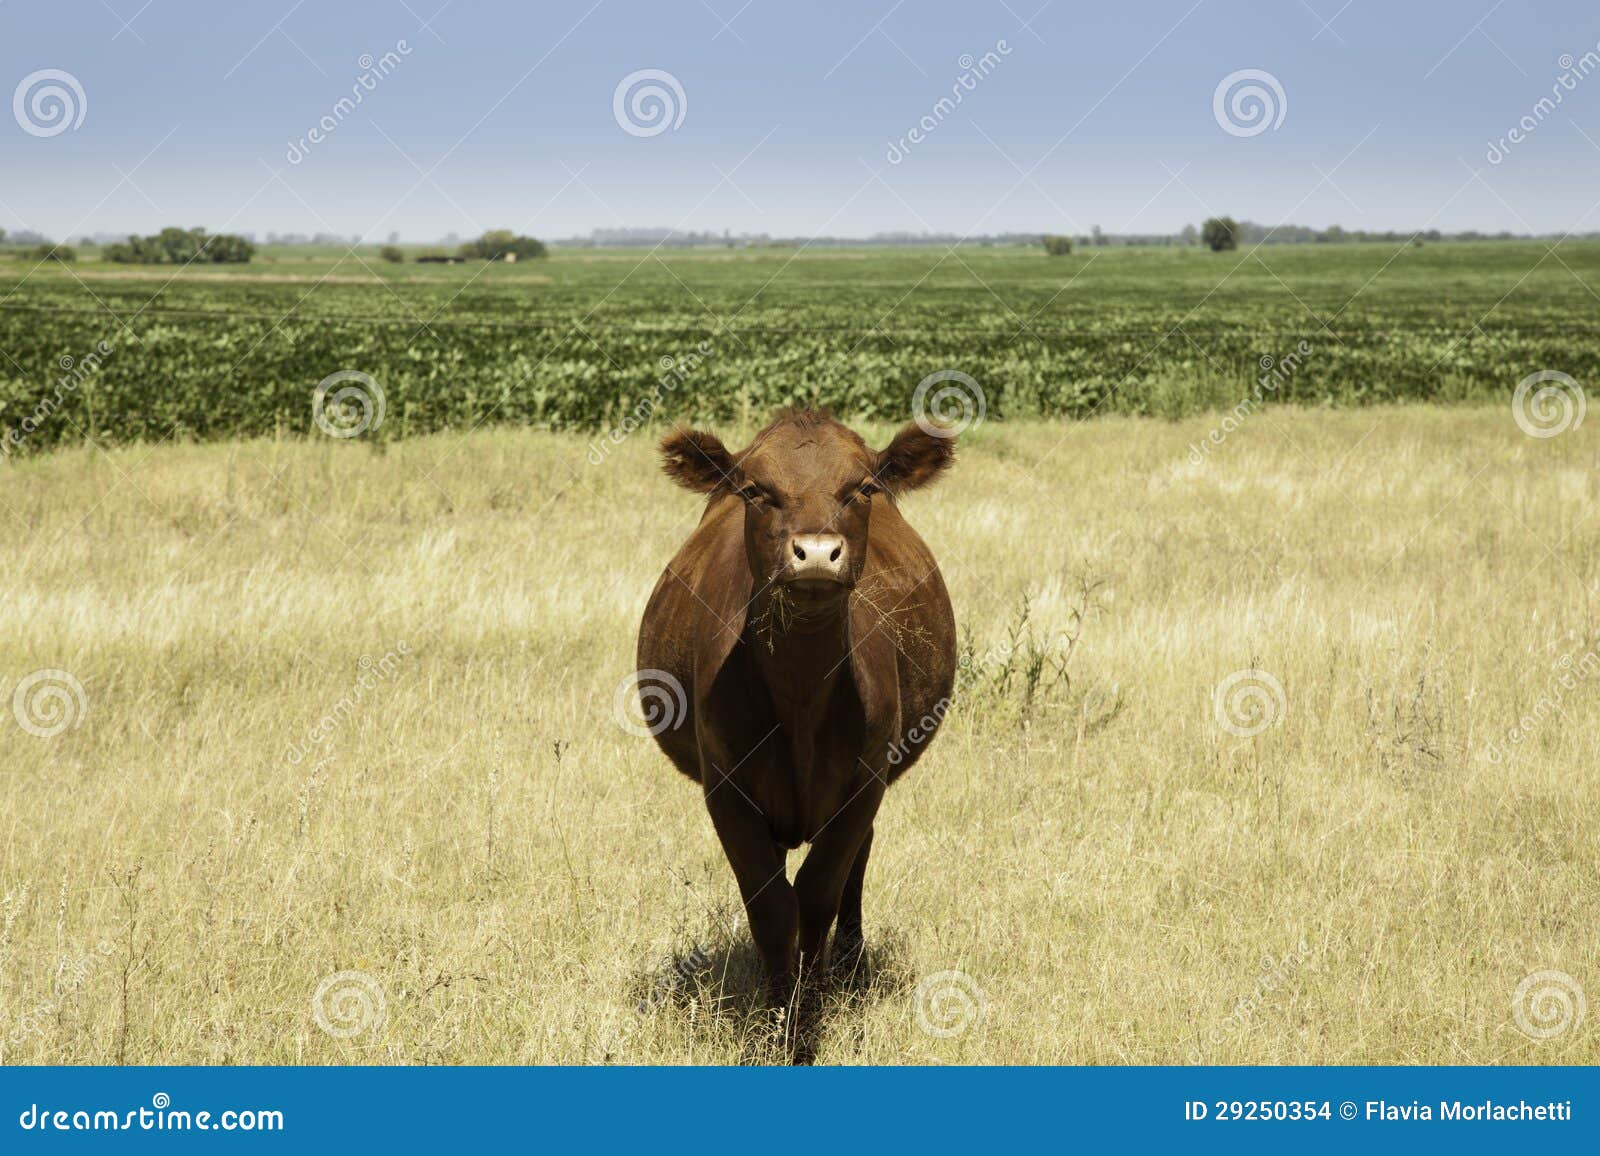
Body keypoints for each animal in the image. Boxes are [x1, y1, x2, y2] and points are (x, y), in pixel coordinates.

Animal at [636, 407, 958, 1060]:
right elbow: (769, 904)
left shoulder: (864, 783)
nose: (815, 553)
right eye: (758, 490)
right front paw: (775, 1024)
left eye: (861, 488)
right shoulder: (726, 789)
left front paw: (805, 1026)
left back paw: (851, 968)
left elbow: (817, 894)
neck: (803, 693)